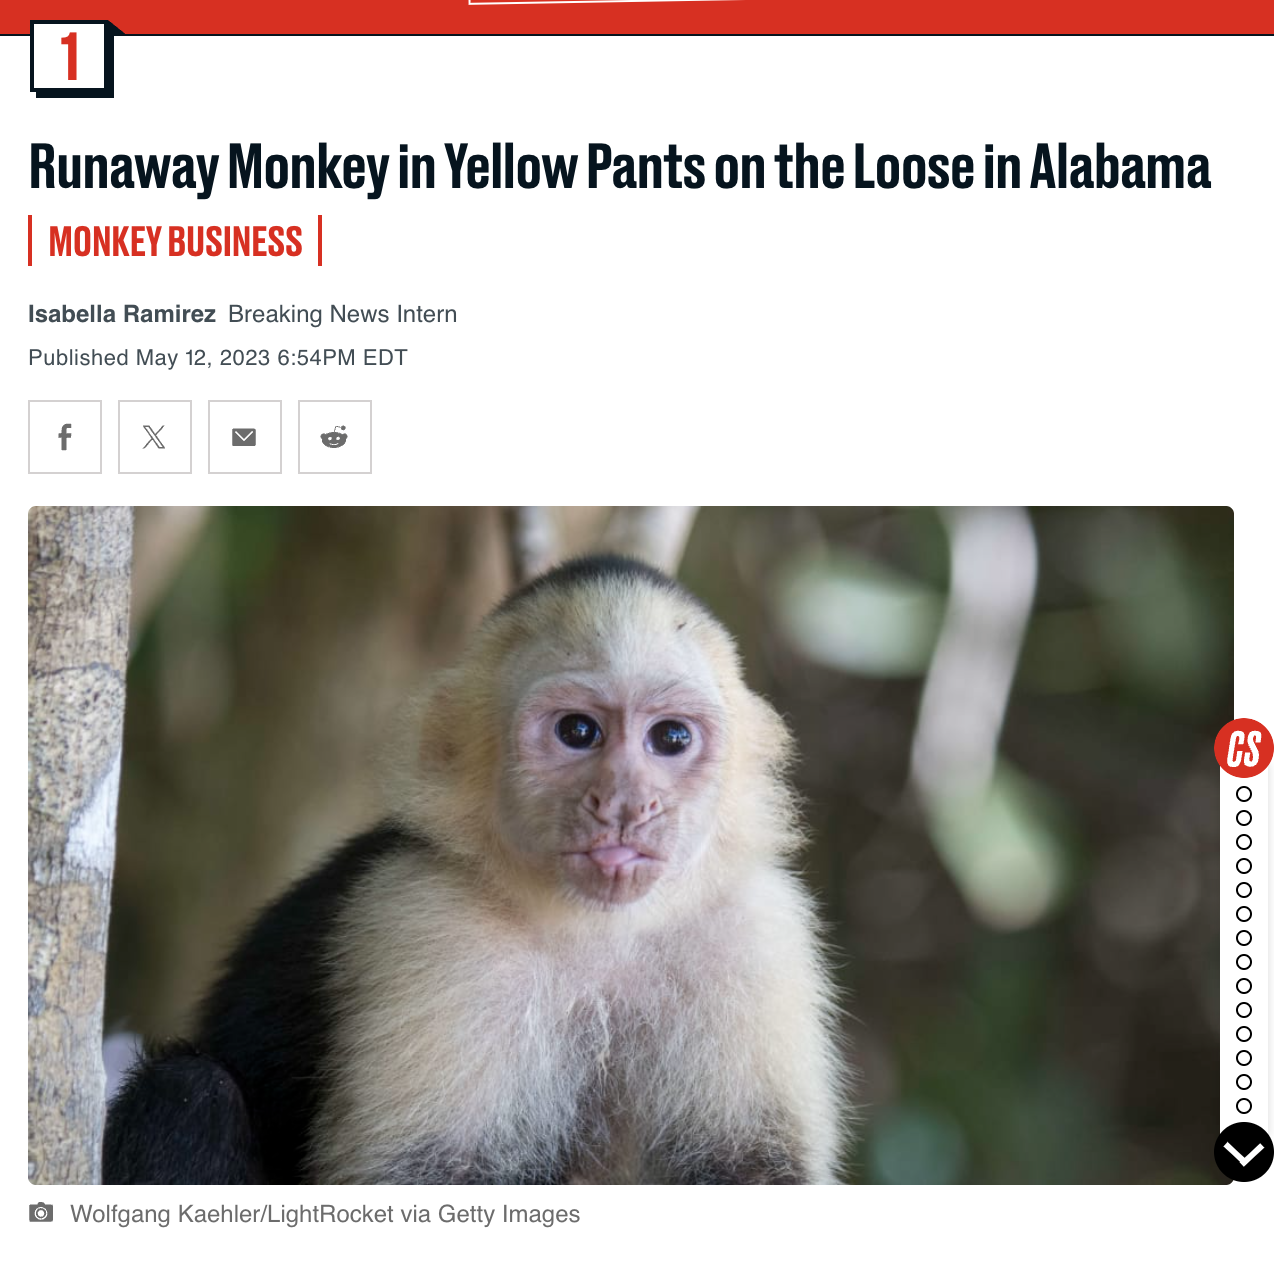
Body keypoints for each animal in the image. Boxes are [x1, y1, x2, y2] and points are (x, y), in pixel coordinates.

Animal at [104, 555, 846, 1184]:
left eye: (671, 738)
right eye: (578, 732)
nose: (627, 804)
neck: (597, 932)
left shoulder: (758, 929)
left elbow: (754, 1166)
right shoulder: (424, 920)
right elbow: (422, 1172)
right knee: (188, 1092)